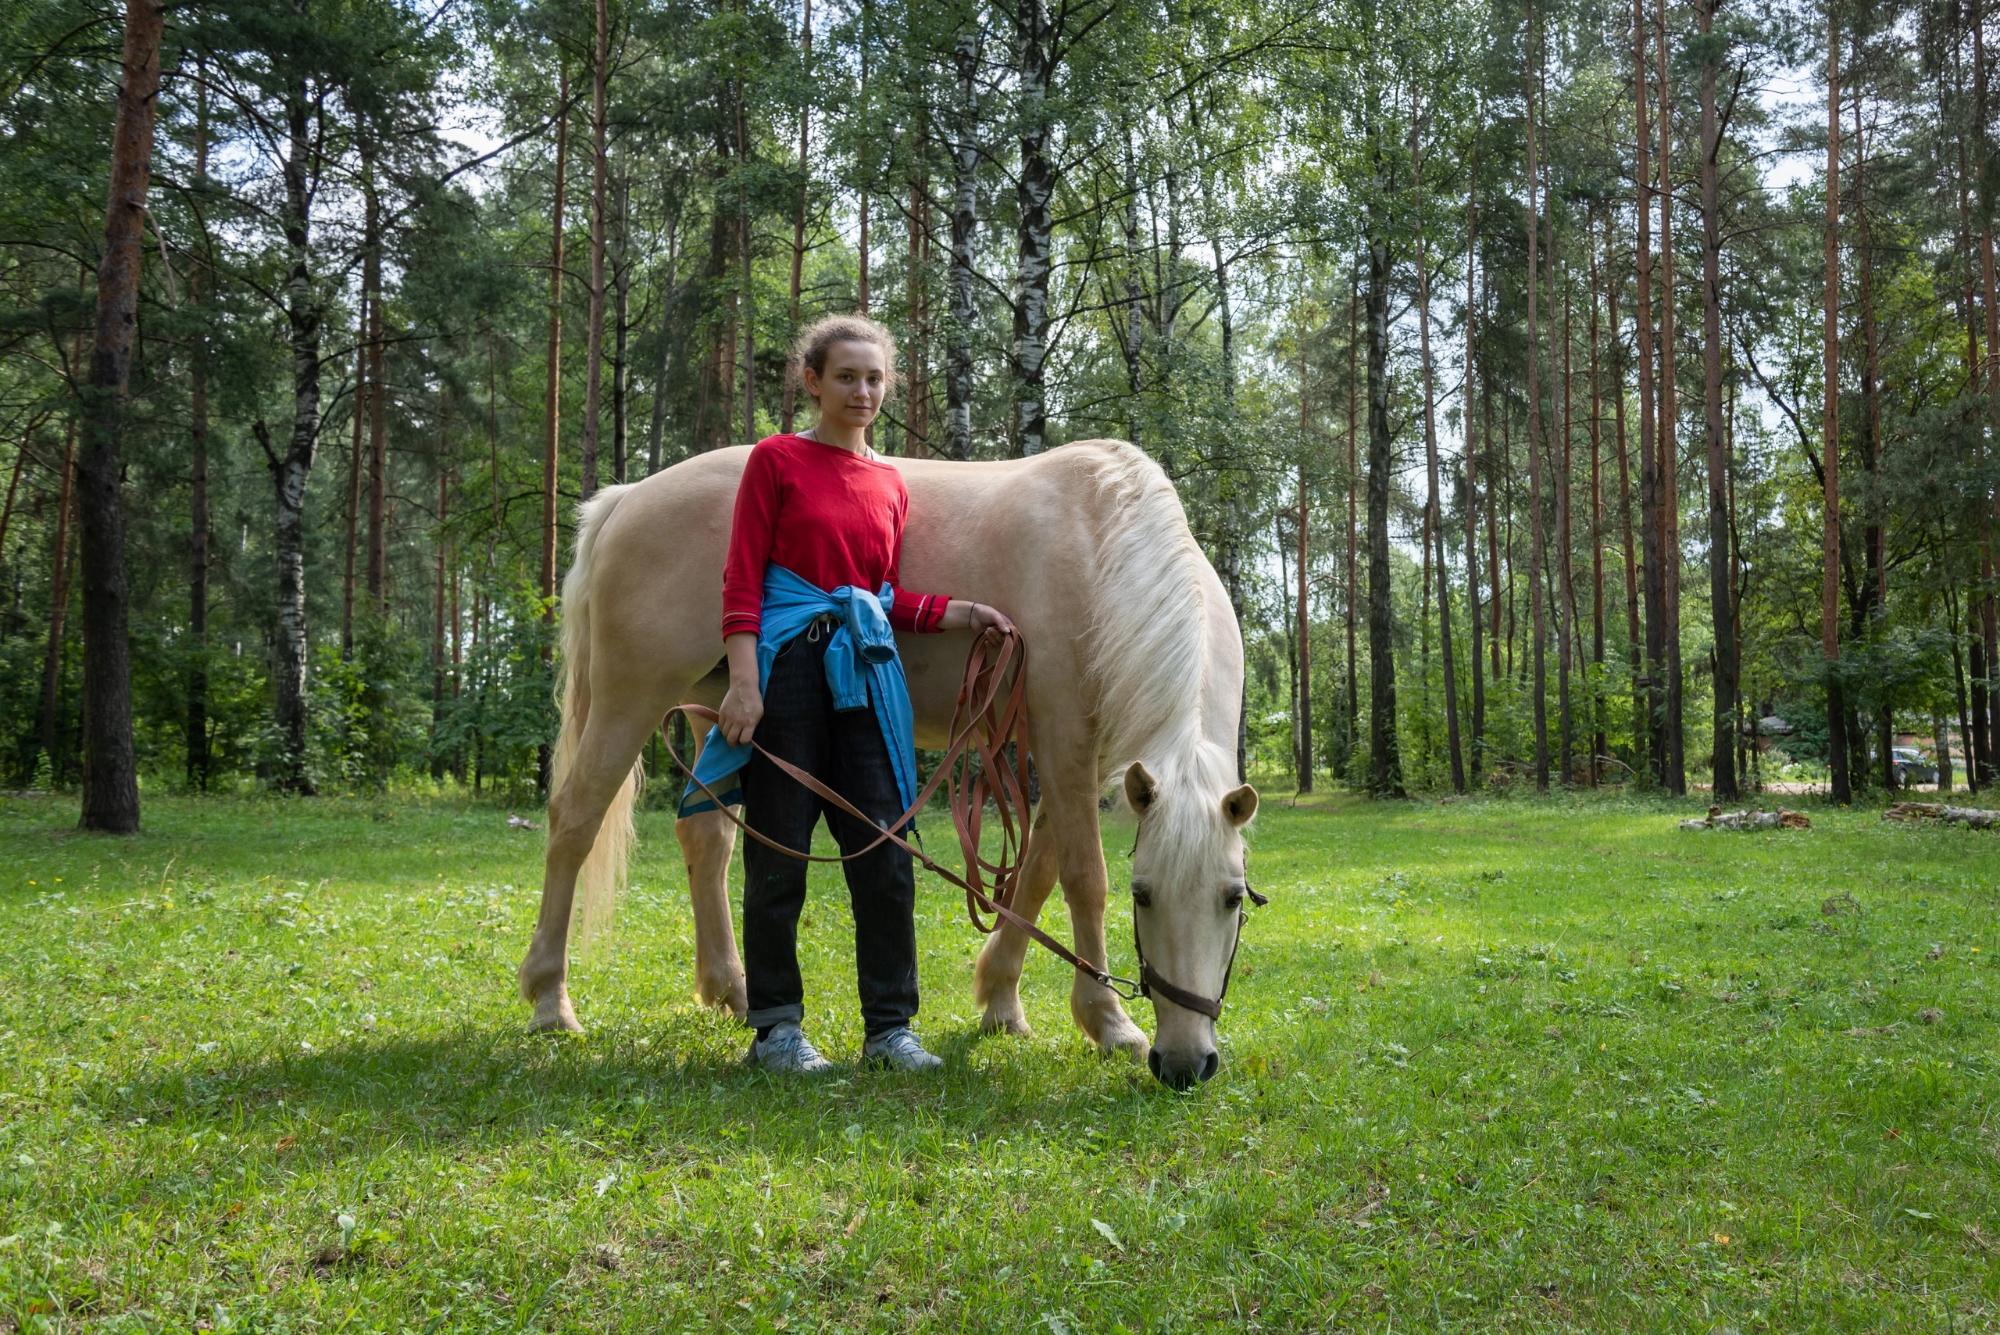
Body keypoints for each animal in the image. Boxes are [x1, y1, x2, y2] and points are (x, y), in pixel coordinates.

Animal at [524, 437, 1256, 1087]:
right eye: (1144, 895)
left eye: (1232, 897)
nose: (1185, 1063)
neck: (1103, 546)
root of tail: (625, 500)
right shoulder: (1063, 739)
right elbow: (1083, 878)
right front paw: (1109, 1022)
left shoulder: (1080, 754)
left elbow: (1038, 873)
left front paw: (1001, 1002)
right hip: (629, 699)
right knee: (575, 822)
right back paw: (550, 1003)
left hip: (724, 712)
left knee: (705, 838)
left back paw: (734, 993)